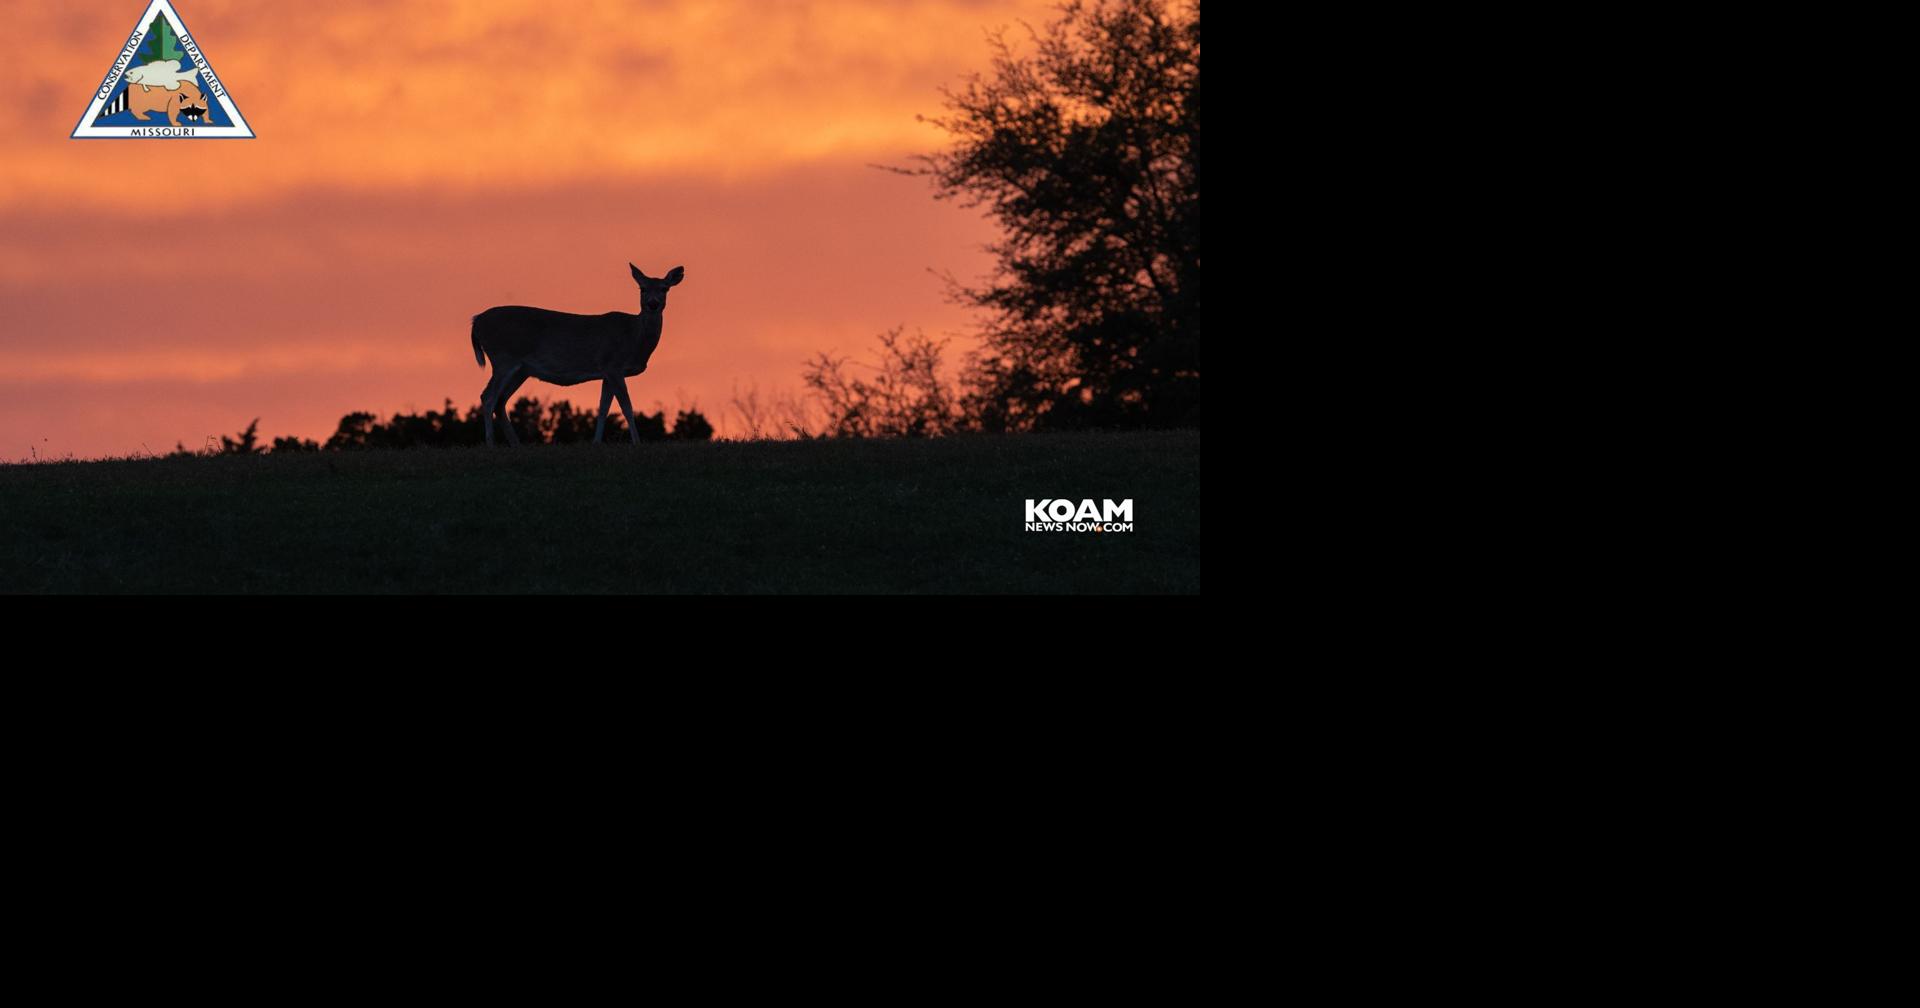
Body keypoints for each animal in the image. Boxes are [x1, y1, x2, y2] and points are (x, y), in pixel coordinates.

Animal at [470, 263, 685, 446]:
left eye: (665, 288)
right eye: (642, 288)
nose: (653, 304)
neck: (633, 337)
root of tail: (476, 321)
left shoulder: (607, 371)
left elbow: (603, 407)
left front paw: (596, 443)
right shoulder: (613, 365)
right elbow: (627, 406)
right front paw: (637, 443)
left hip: (521, 369)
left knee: (500, 400)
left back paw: (516, 444)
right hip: (503, 358)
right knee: (488, 397)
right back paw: (491, 444)